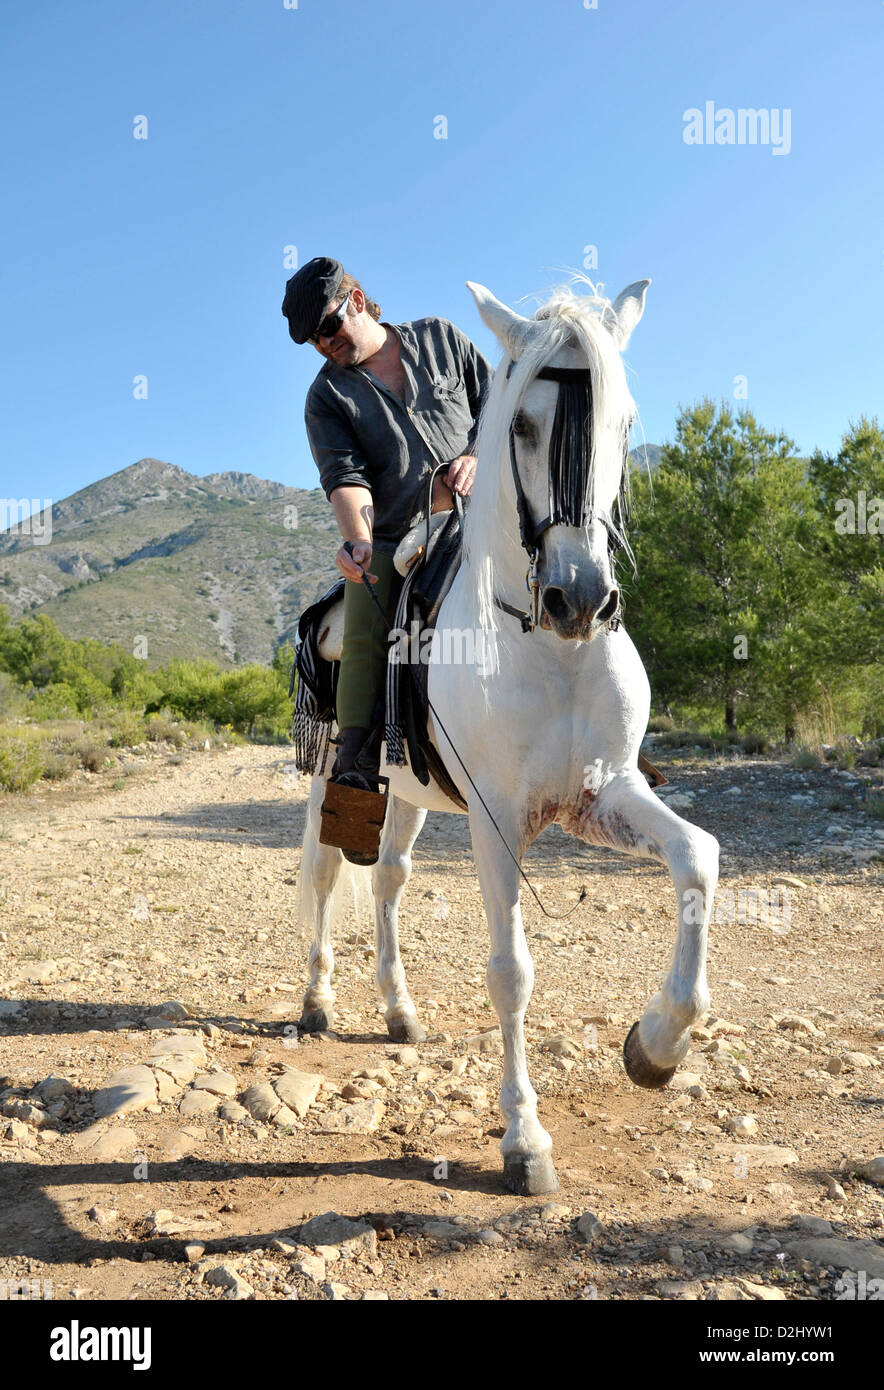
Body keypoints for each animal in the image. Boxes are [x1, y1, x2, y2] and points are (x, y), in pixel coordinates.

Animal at [294, 276, 719, 1196]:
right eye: (522, 423)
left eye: (623, 421)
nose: (580, 598)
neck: (547, 650)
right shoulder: (496, 824)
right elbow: (512, 973)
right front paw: (524, 1140)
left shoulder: (604, 793)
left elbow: (697, 861)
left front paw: (656, 1046)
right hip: (333, 780)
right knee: (327, 874)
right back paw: (316, 1001)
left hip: (412, 796)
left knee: (388, 880)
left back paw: (399, 1010)